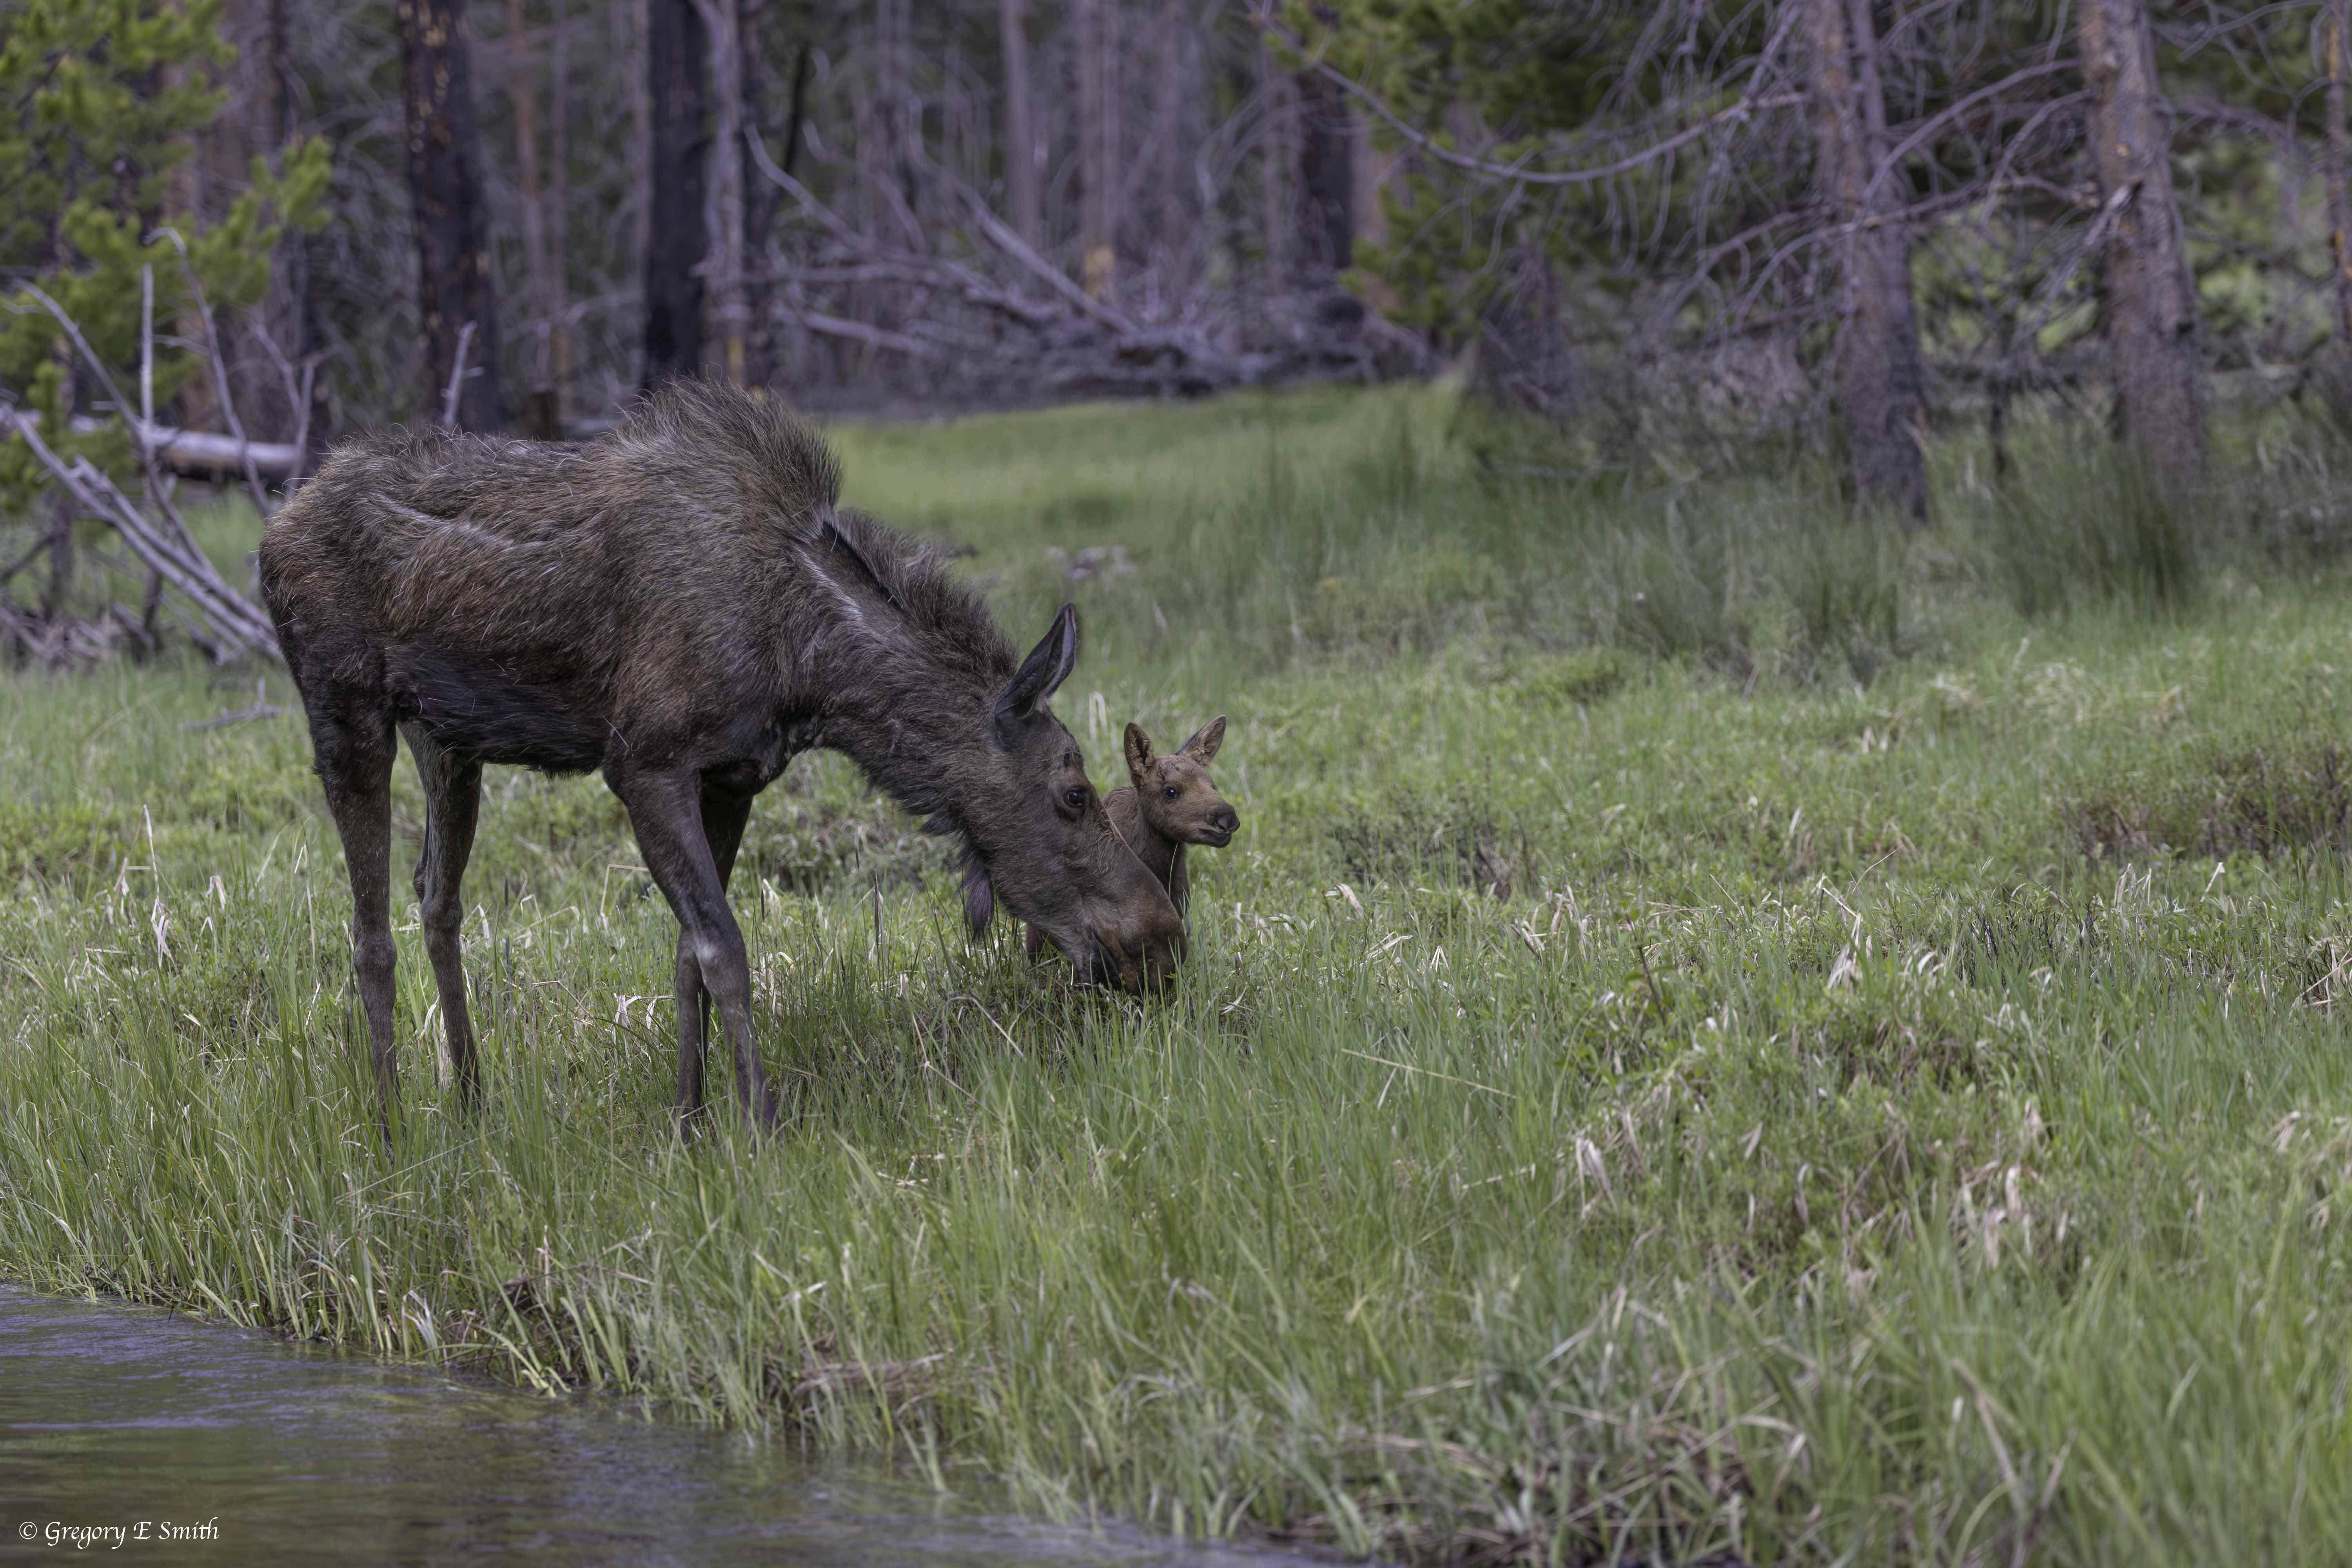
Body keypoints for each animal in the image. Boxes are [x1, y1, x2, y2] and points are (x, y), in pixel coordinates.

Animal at [259, 380, 1184, 1140]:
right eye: (1073, 790)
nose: (1164, 940)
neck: (809, 667)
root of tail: (274, 524)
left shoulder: (735, 775)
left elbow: (686, 957)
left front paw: (689, 1121)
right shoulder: (645, 762)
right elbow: (725, 951)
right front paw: (761, 1125)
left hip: (449, 740)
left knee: (437, 899)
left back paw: (472, 1099)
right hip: (344, 705)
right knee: (369, 933)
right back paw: (391, 1126)